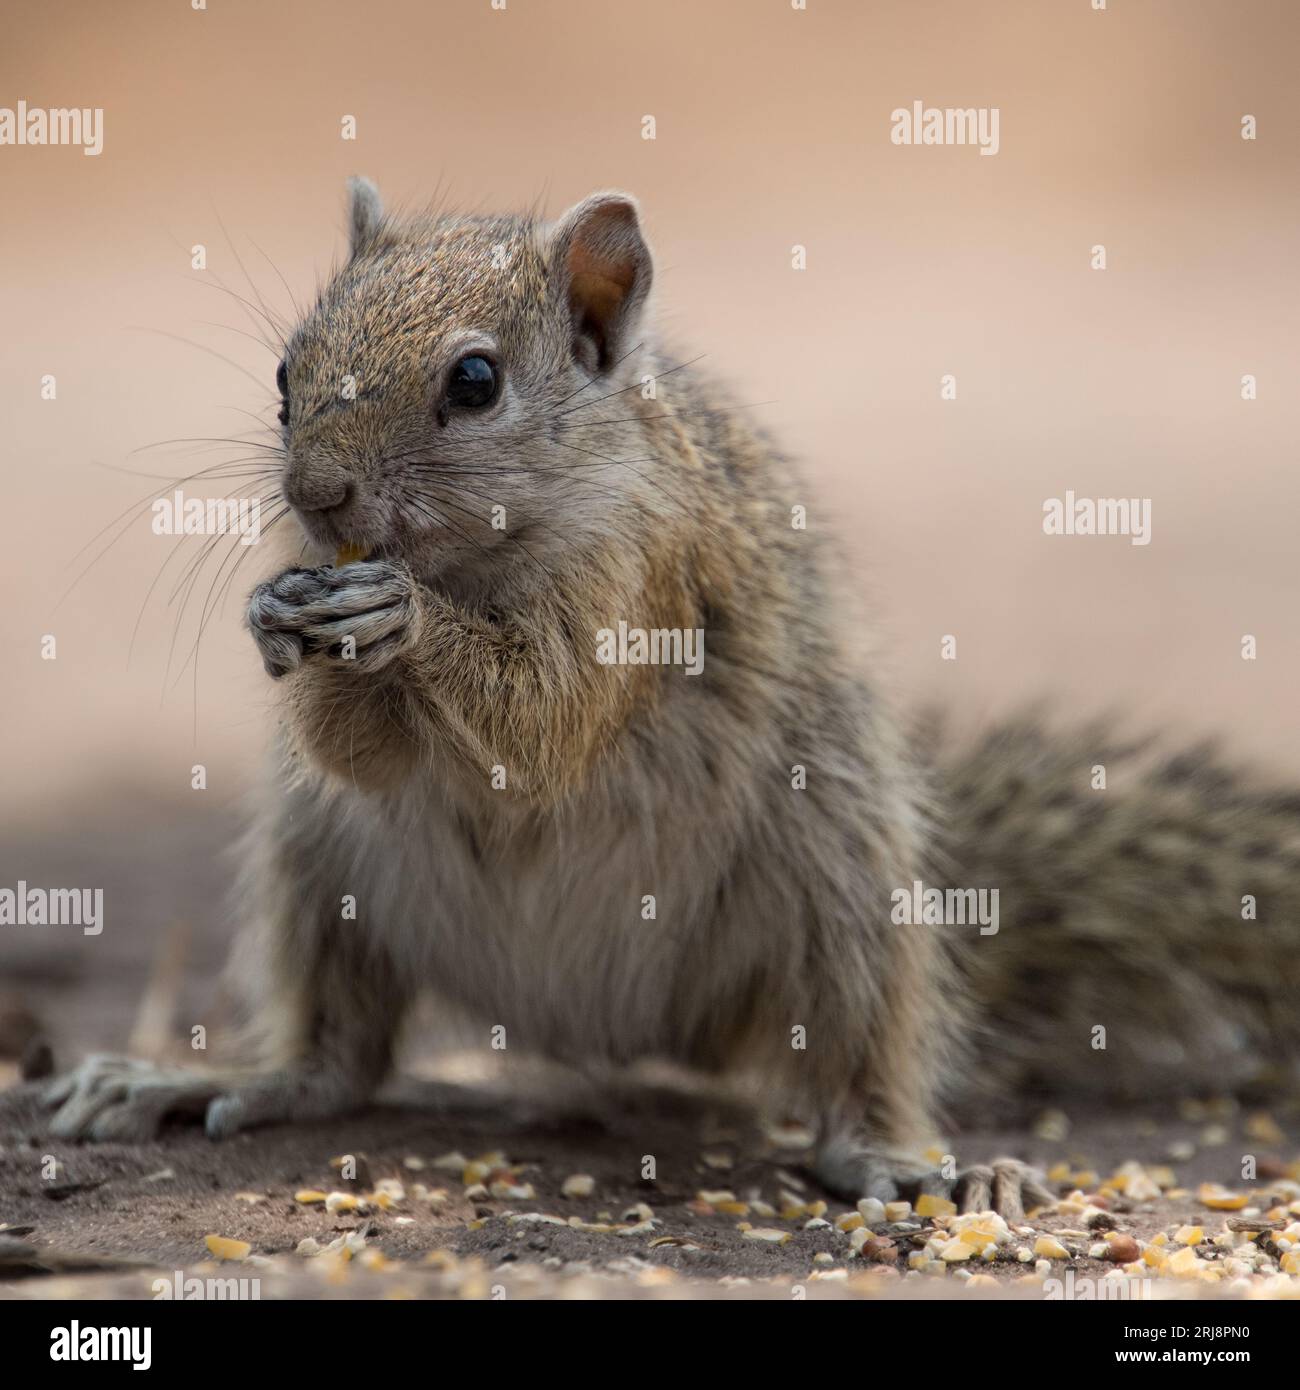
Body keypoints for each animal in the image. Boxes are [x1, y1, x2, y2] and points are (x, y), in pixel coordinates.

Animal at [43, 180, 1300, 1217]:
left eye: (474, 381)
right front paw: (277, 616)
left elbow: (541, 723)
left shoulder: (643, 573)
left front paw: (406, 622)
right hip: (318, 867)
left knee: (857, 1049)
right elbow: (368, 752)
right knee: (340, 1056)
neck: (486, 549)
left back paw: (899, 1158)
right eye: (284, 372)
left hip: (836, 866)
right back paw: (212, 1079)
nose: (316, 494)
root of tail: (597, 1024)